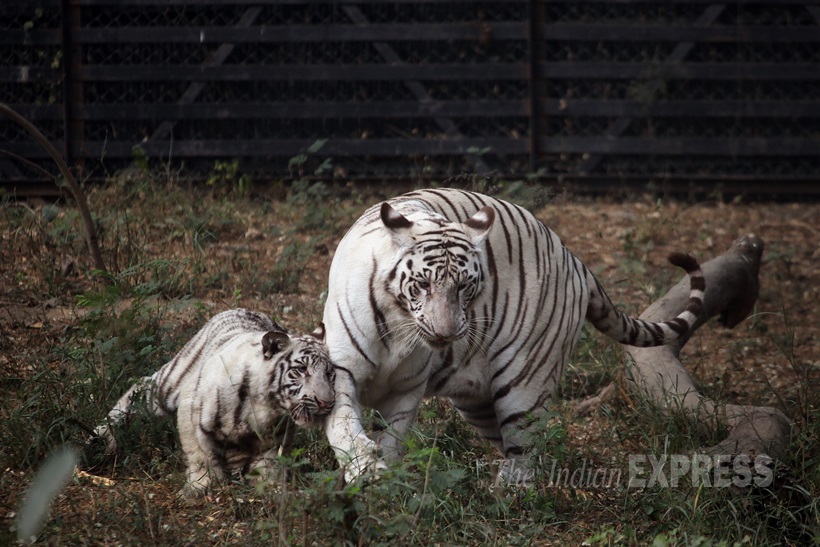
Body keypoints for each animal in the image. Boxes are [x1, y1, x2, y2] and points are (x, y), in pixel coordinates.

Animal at [92, 308, 335, 497]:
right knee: (141, 386)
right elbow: (201, 456)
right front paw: (201, 487)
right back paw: (102, 435)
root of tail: (242, 309)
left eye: (329, 373)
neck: (266, 405)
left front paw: (271, 488)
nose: (326, 402)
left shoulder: (277, 437)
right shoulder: (190, 408)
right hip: (168, 386)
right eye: (301, 369)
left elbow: (269, 464)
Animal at [321, 188, 705, 484]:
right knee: (510, 445)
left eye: (464, 286)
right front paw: (366, 469)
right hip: (476, 403)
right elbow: (343, 426)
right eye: (424, 284)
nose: (447, 333)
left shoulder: (406, 389)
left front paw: (380, 477)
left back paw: (508, 496)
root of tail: (574, 258)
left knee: (525, 453)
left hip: (525, 384)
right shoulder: (342, 373)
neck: (398, 325)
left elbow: (392, 439)